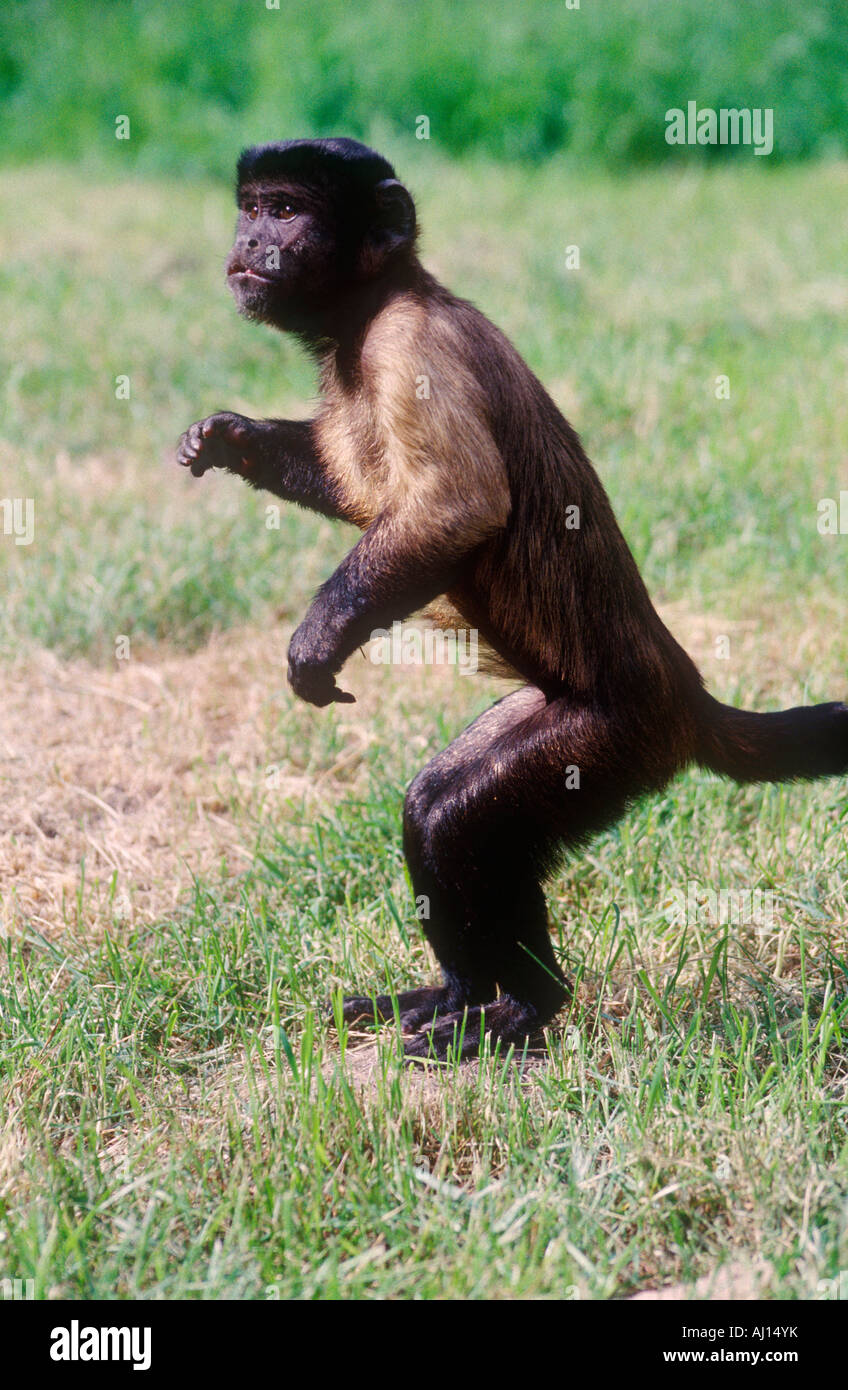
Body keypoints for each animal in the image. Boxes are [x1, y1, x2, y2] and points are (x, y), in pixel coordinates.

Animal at [177, 137, 848, 1060]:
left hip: (611, 738)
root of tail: (686, 693)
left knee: (460, 817)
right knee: (433, 804)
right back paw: (460, 997)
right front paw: (229, 438)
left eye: (285, 212)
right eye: (249, 209)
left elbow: (458, 509)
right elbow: (358, 487)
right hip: (568, 720)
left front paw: (317, 639)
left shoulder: (409, 348)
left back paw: (524, 1009)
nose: (248, 241)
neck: (372, 309)